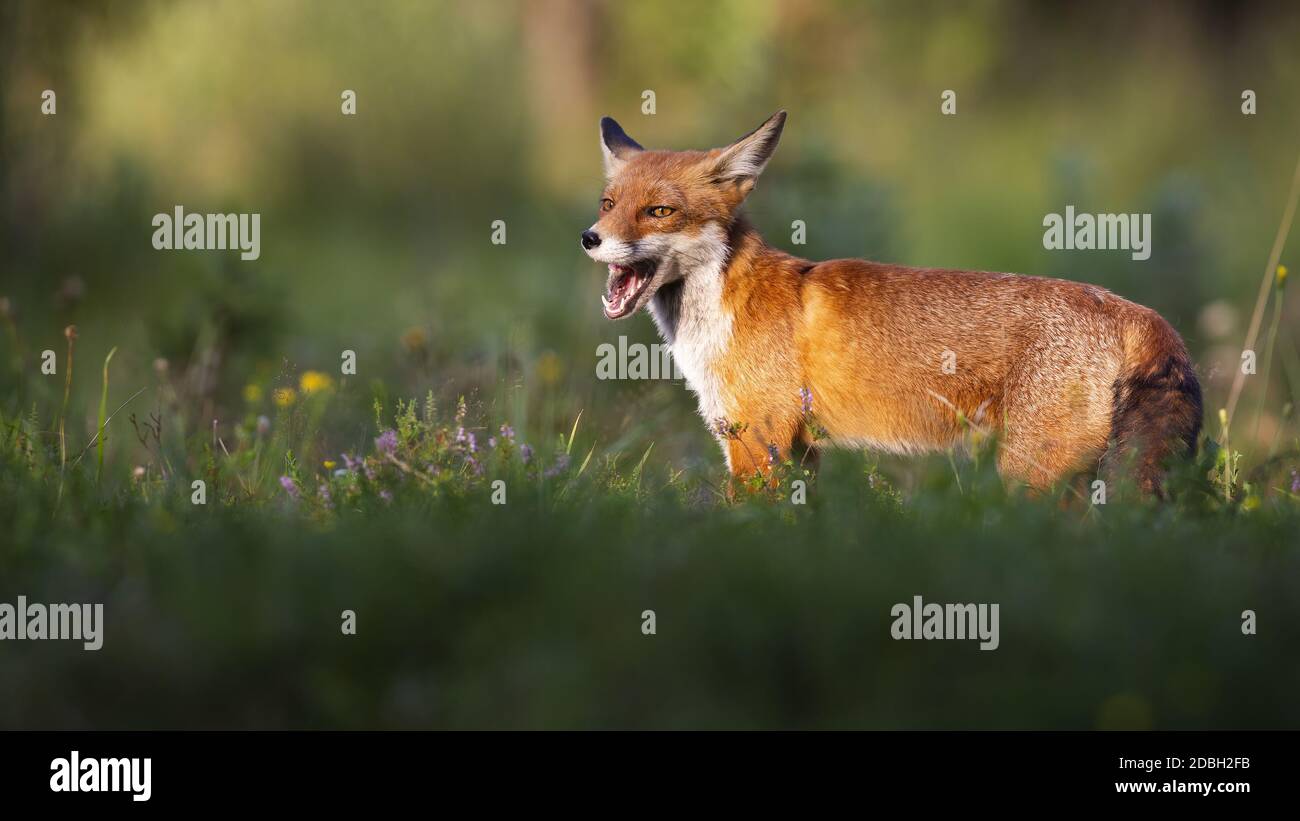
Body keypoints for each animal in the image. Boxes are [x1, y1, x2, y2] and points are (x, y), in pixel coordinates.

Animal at [581, 110, 1203, 495]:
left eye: (659, 212)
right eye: (609, 203)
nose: (589, 238)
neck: (722, 312)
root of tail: (1129, 308)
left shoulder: (759, 443)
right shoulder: (798, 451)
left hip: (1030, 475)